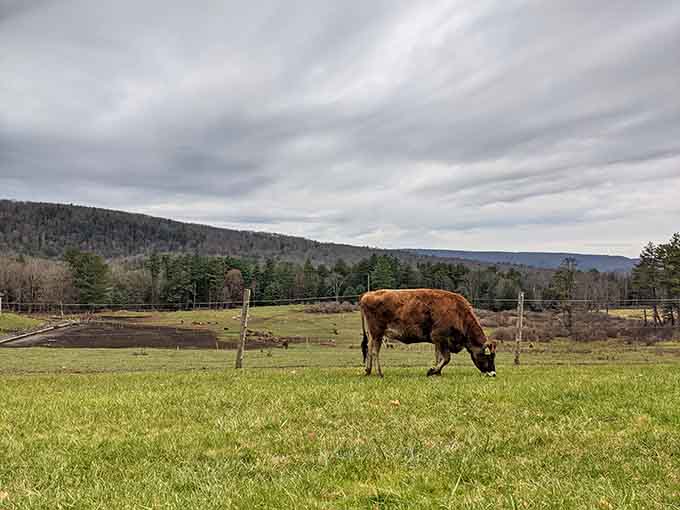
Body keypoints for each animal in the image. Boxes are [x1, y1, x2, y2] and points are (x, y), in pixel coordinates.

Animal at [360, 289, 497, 377]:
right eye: (488, 357)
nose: (493, 373)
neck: (459, 313)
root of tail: (368, 294)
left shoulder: (438, 342)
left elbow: (439, 356)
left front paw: (437, 372)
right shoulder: (440, 338)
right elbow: (446, 358)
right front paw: (432, 371)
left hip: (372, 334)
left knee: (368, 347)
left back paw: (368, 370)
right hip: (377, 332)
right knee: (374, 351)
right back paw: (379, 373)